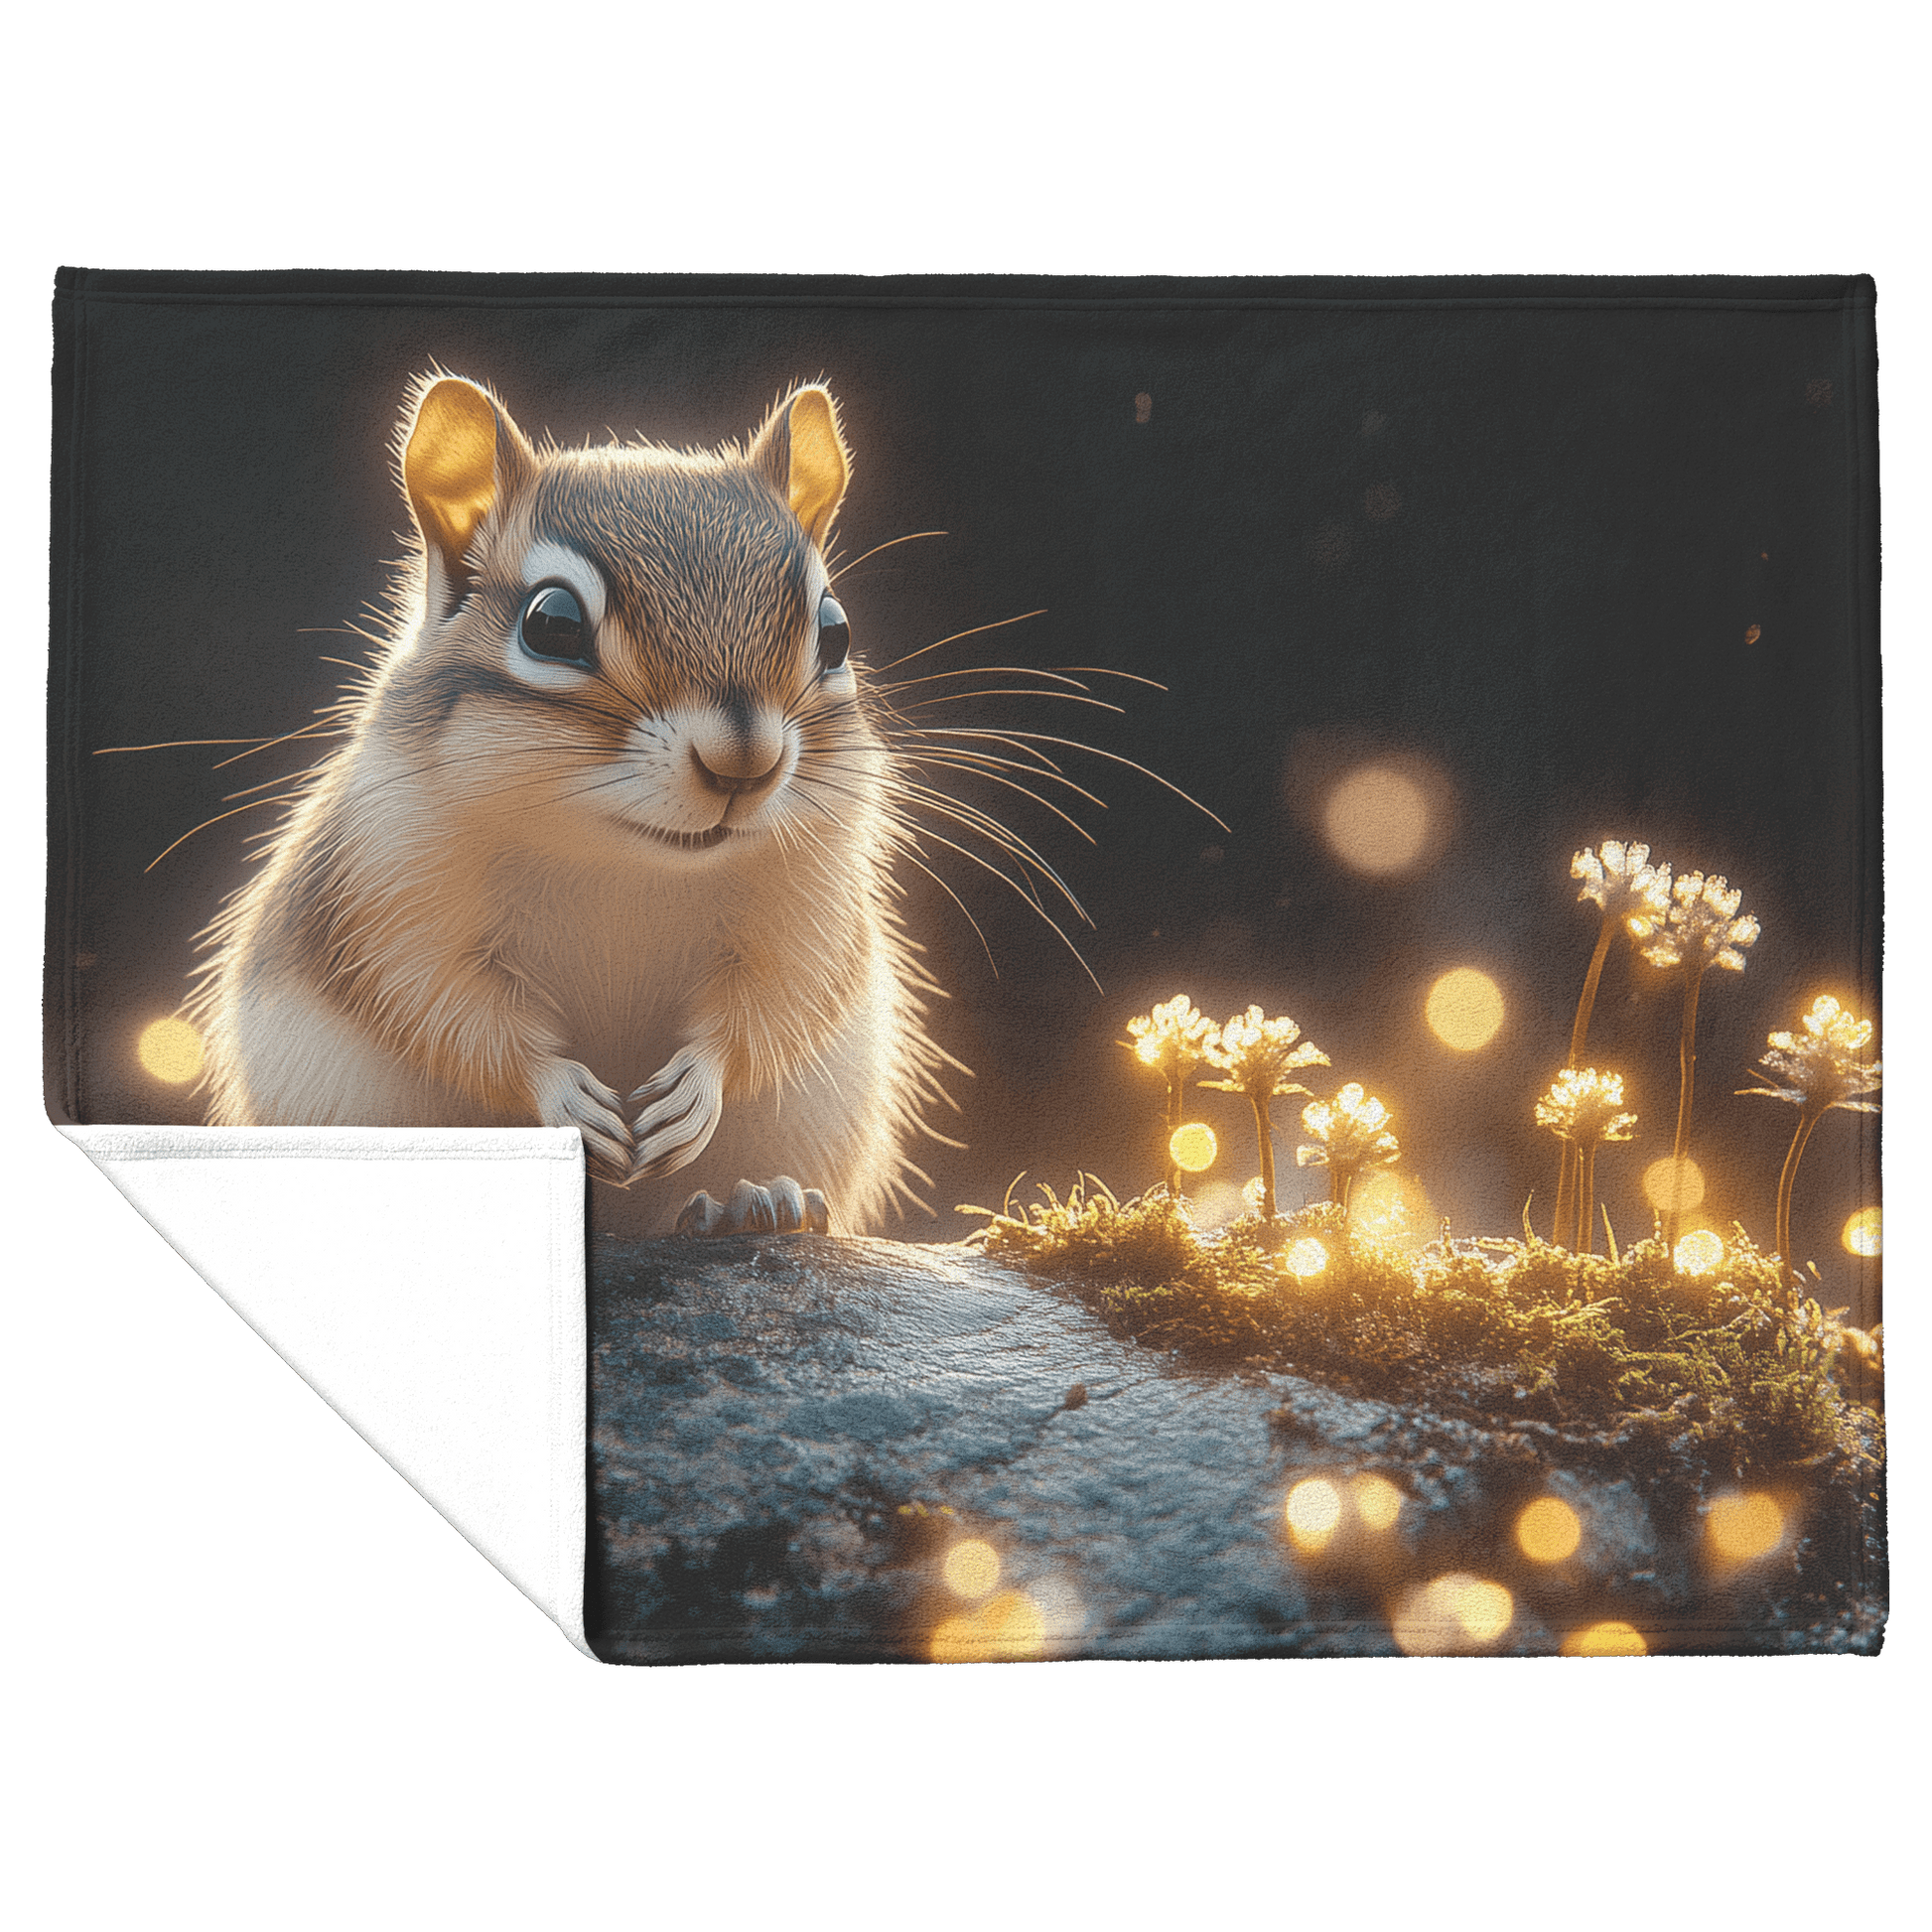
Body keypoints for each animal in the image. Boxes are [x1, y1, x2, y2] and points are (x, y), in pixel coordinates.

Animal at [186, 373, 957, 1236]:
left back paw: (749, 1202)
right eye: (551, 624)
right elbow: (446, 1013)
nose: (745, 764)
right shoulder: (386, 894)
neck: (622, 858)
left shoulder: (808, 908)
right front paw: (563, 1095)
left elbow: (774, 1006)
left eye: (835, 631)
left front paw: (698, 1093)